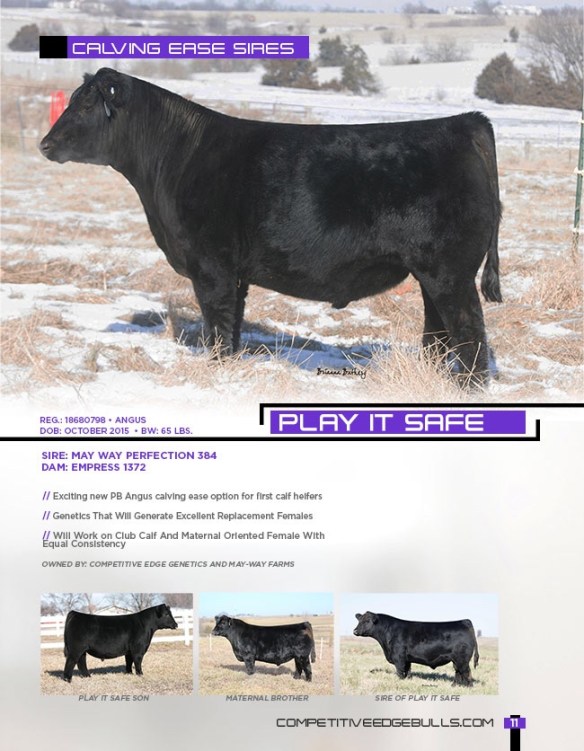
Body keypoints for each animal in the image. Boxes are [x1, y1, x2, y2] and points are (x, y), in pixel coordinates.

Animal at [39, 68, 502, 386]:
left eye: (85, 106)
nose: (45, 144)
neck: (176, 160)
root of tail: (464, 122)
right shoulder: (235, 273)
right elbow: (233, 326)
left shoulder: (212, 266)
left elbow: (217, 325)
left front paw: (216, 370)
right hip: (432, 274)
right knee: (439, 331)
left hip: (449, 271)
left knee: (469, 330)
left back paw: (466, 388)